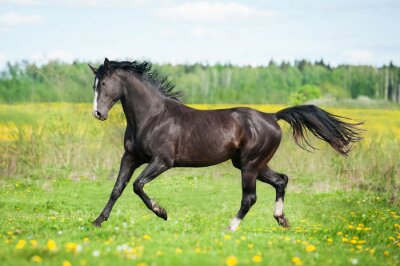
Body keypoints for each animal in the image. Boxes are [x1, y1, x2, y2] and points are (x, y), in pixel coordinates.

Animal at [89, 58, 364, 231]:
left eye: (104, 84)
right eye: (94, 85)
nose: (98, 114)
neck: (153, 117)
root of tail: (272, 117)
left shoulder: (162, 161)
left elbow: (137, 185)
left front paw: (162, 212)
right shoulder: (131, 157)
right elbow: (117, 188)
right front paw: (98, 221)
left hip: (250, 165)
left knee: (249, 197)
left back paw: (230, 227)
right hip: (251, 164)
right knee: (281, 180)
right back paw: (281, 220)